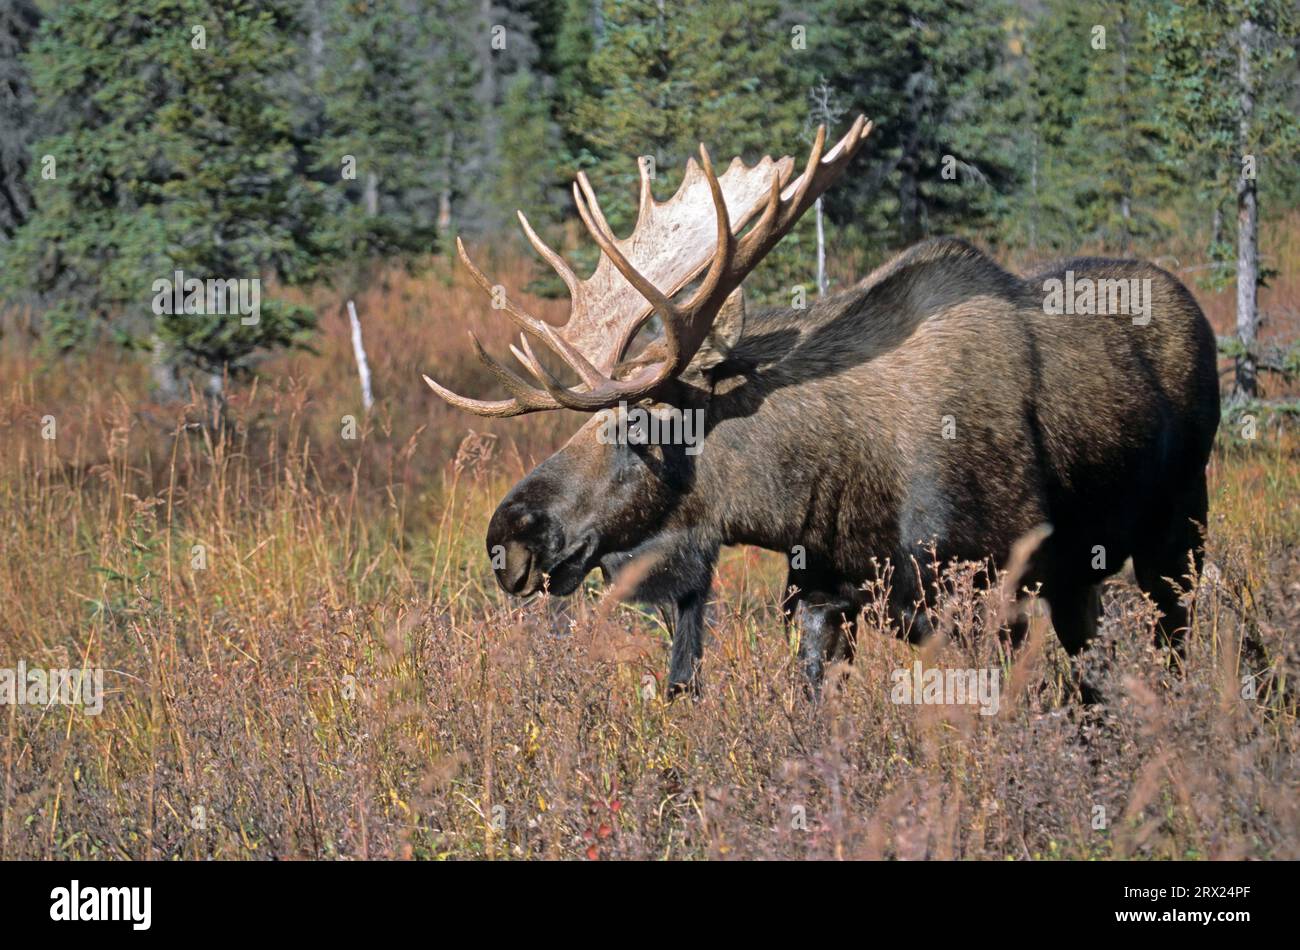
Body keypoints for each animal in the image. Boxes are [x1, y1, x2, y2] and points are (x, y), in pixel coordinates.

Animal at [423, 117, 1220, 700]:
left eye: (637, 426)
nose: (508, 537)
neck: (822, 487)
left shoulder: (989, 594)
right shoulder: (822, 595)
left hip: (1178, 532)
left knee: (1173, 647)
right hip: (1083, 573)